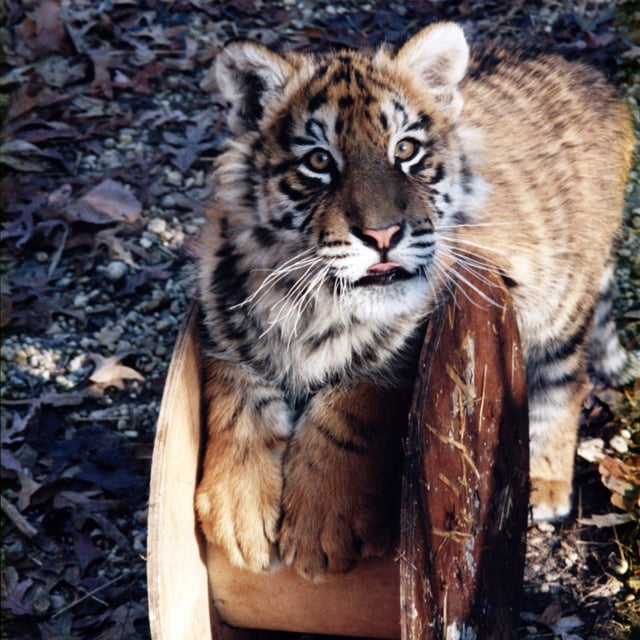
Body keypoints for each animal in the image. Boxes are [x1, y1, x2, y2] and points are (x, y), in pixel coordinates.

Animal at [194, 22, 637, 580]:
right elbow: (238, 399)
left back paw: (547, 488)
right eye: (318, 160)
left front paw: (323, 528)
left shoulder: (411, 343)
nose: (383, 235)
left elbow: (355, 400)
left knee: (567, 381)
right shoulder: (222, 318)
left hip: (559, 304)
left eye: (405, 150)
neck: (314, 303)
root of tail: (593, 76)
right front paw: (239, 513)